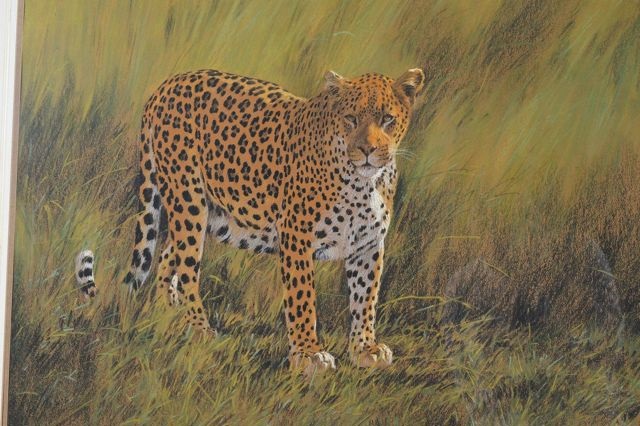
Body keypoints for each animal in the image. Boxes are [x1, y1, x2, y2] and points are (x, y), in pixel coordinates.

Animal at [113, 67, 425, 375]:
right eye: (351, 119)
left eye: (387, 119)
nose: (368, 150)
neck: (364, 184)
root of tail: (169, 83)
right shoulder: (297, 236)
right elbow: (302, 297)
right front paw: (307, 354)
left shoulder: (367, 244)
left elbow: (365, 297)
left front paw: (364, 348)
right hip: (188, 201)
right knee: (188, 269)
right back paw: (199, 328)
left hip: (207, 213)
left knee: (169, 256)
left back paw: (169, 315)